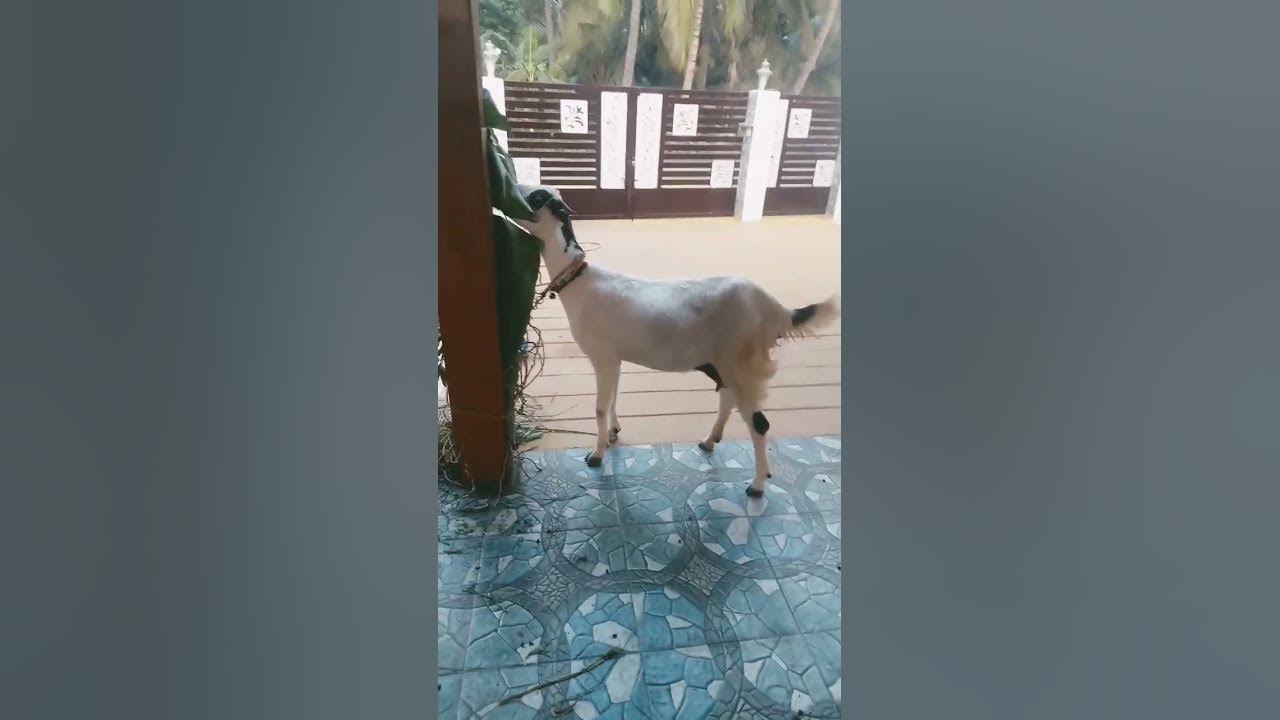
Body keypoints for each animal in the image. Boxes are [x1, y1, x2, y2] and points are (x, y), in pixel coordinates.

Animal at [514, 185, 838, 496]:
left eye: (536, 198)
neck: (580, 282)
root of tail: (776, 309)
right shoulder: (614, 359)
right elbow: (614, 398)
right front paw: (613, 433)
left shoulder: (603, 357)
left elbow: (600, 408)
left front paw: (596, 456)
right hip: (727, 363)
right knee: (728, 400)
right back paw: (710, 440)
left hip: (744, 364)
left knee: (759, 423)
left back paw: (757, 485)